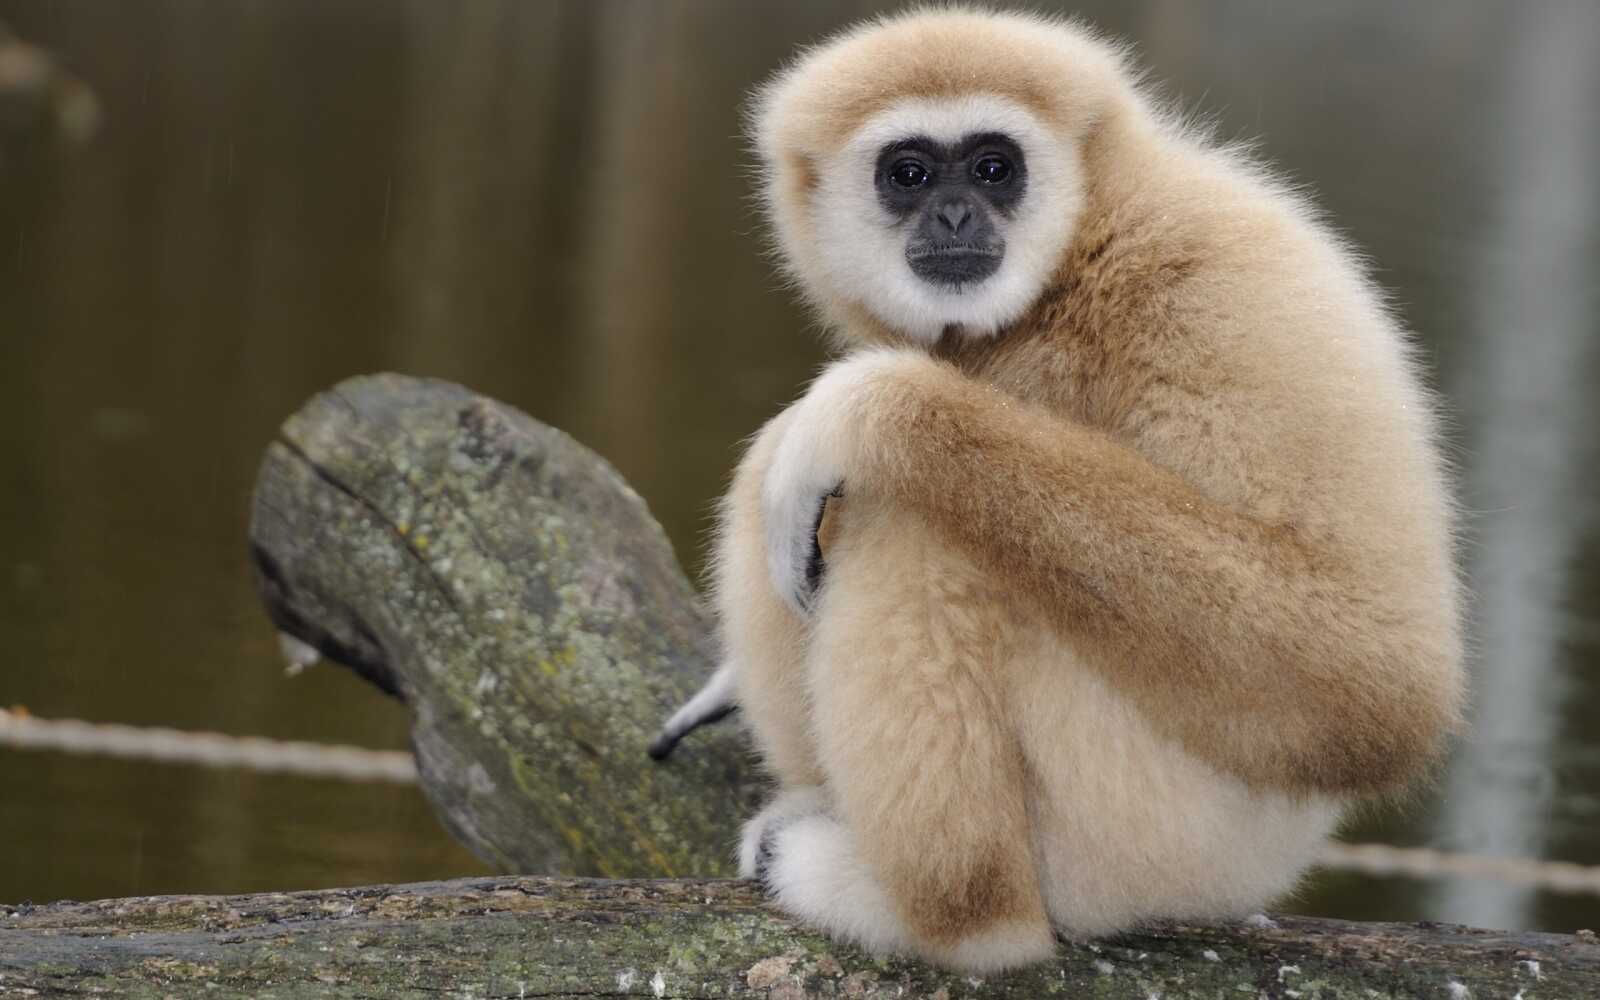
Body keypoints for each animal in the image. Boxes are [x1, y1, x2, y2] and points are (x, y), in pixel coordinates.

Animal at [653, 7, 1464, 973]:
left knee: (906, 521)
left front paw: (868, 408)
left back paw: (954, 921)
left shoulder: (1225, 287)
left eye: (994, 168)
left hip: (1146, 831)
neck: (1076, 260)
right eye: (909, 173)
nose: (954, 210)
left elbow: (1369, 680)